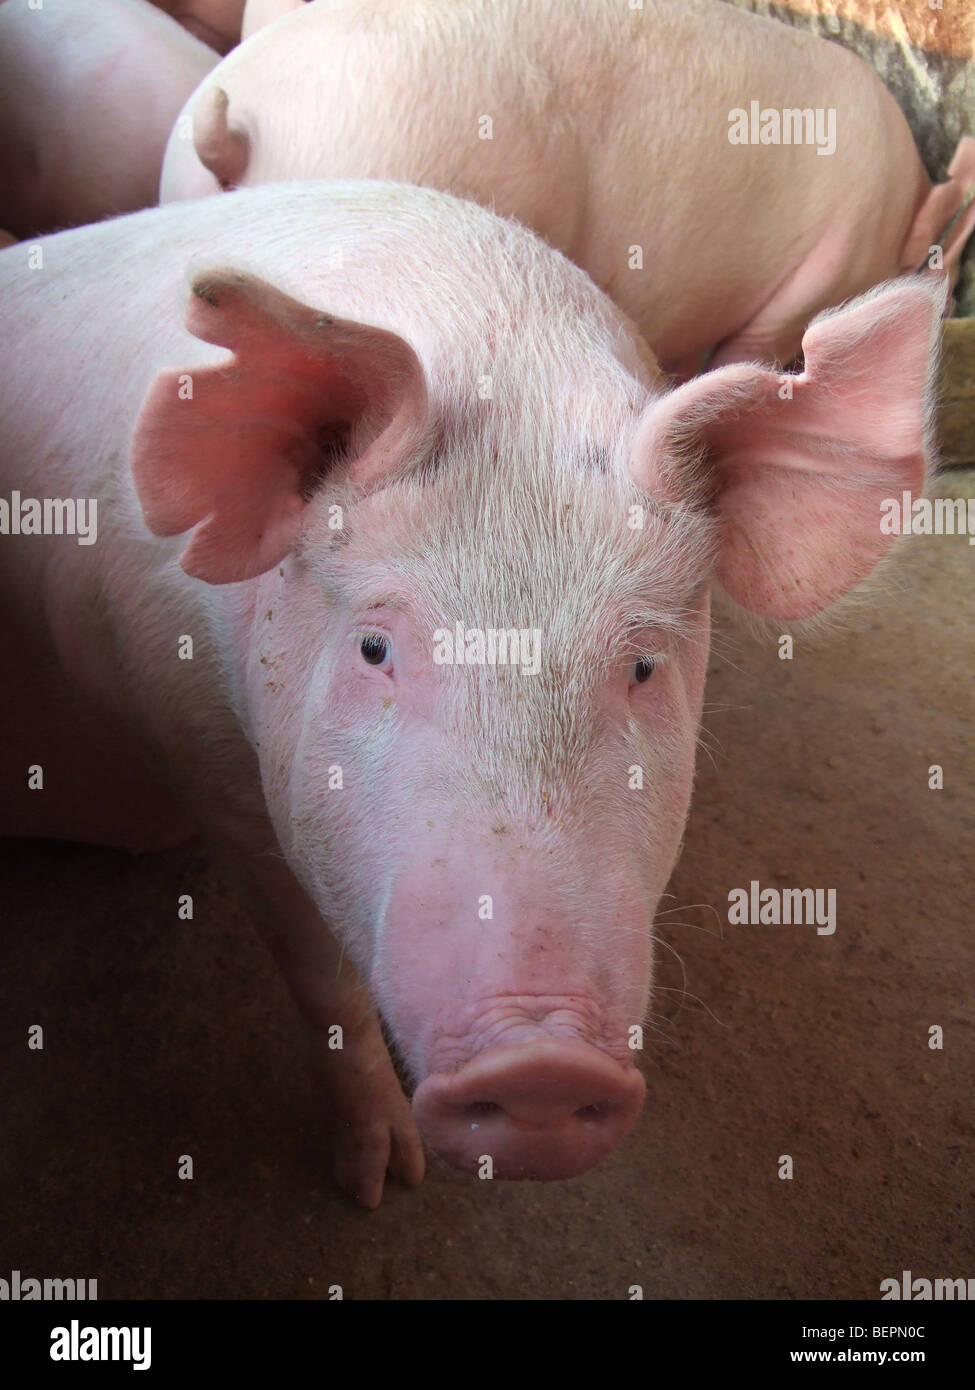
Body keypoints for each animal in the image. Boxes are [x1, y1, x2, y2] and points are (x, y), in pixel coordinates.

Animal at [0, 179, 944, 1204]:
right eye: (374, 647)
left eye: (642, 665)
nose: (541, 1066)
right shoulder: (214, 776)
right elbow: (324, 982)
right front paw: (380, 1186)